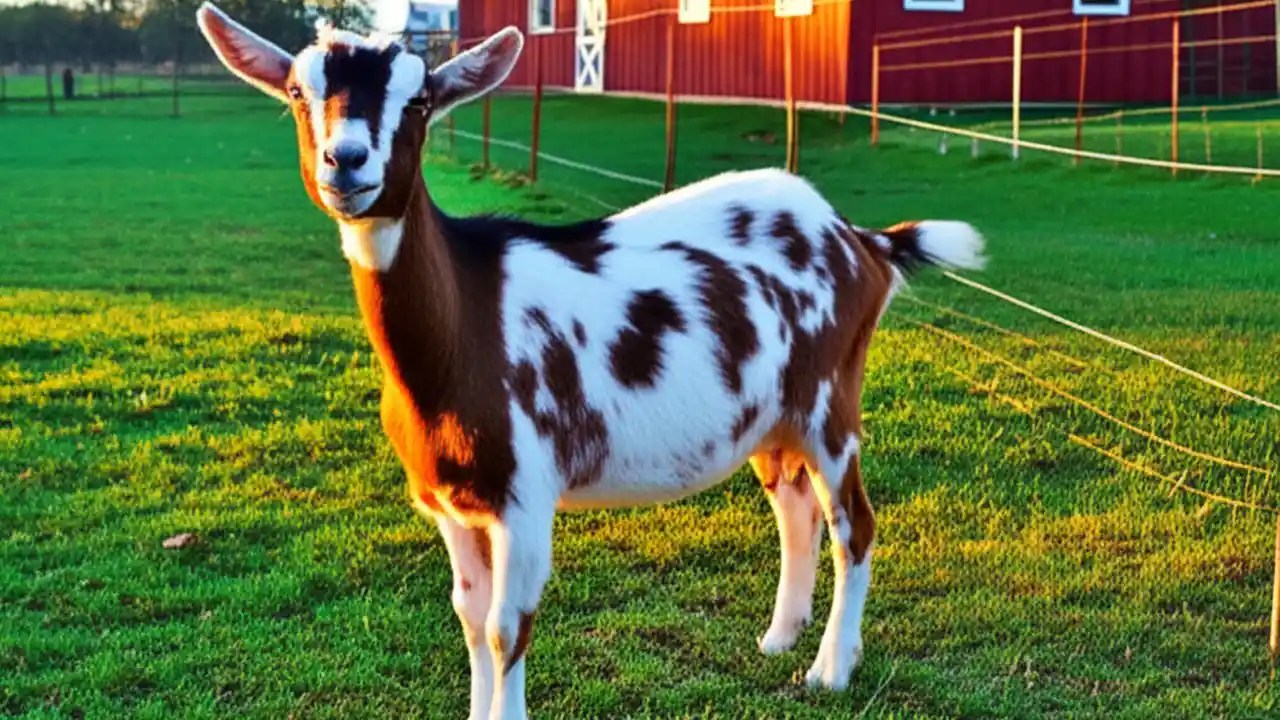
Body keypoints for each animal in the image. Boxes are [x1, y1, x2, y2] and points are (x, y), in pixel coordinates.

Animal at [196, 4, 984, 719]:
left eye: (419, 100)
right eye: (297, 93)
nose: (348, 162)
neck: (465, 328)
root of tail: (861, 240)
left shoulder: (525, 495)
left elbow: (506, 630)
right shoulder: (448, 503)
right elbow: (470, 622)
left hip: (830, 399)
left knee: (854, 523)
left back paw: (830, 669)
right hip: (772, 413)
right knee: (795, 506)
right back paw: (781, 637)